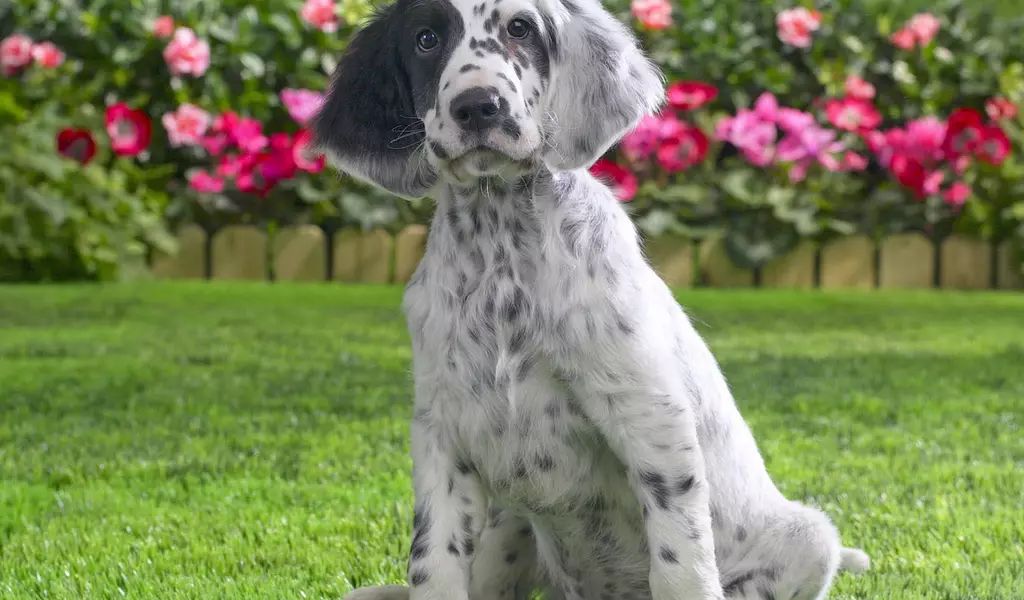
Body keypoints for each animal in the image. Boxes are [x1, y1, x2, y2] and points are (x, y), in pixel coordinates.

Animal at [313, 1, 872, 597]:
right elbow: (434, 561)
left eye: (520, 28)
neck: (502, 251)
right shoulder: (442, 430)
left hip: (807, 537)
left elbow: (680, 560)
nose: (478, 107)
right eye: (425, 39)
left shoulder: (648, 414)